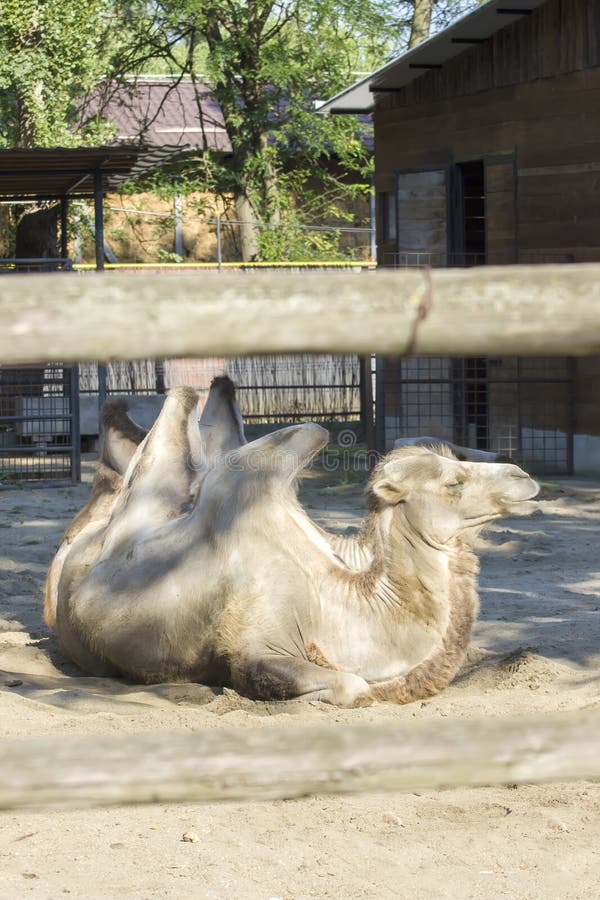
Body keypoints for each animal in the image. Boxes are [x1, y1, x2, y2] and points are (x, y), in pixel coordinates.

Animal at [47, 384, 539, 706]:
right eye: (453, 482)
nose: (523, 476)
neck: (334, 604)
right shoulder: (255, 651)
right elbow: (353, 687)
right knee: (175, 412)